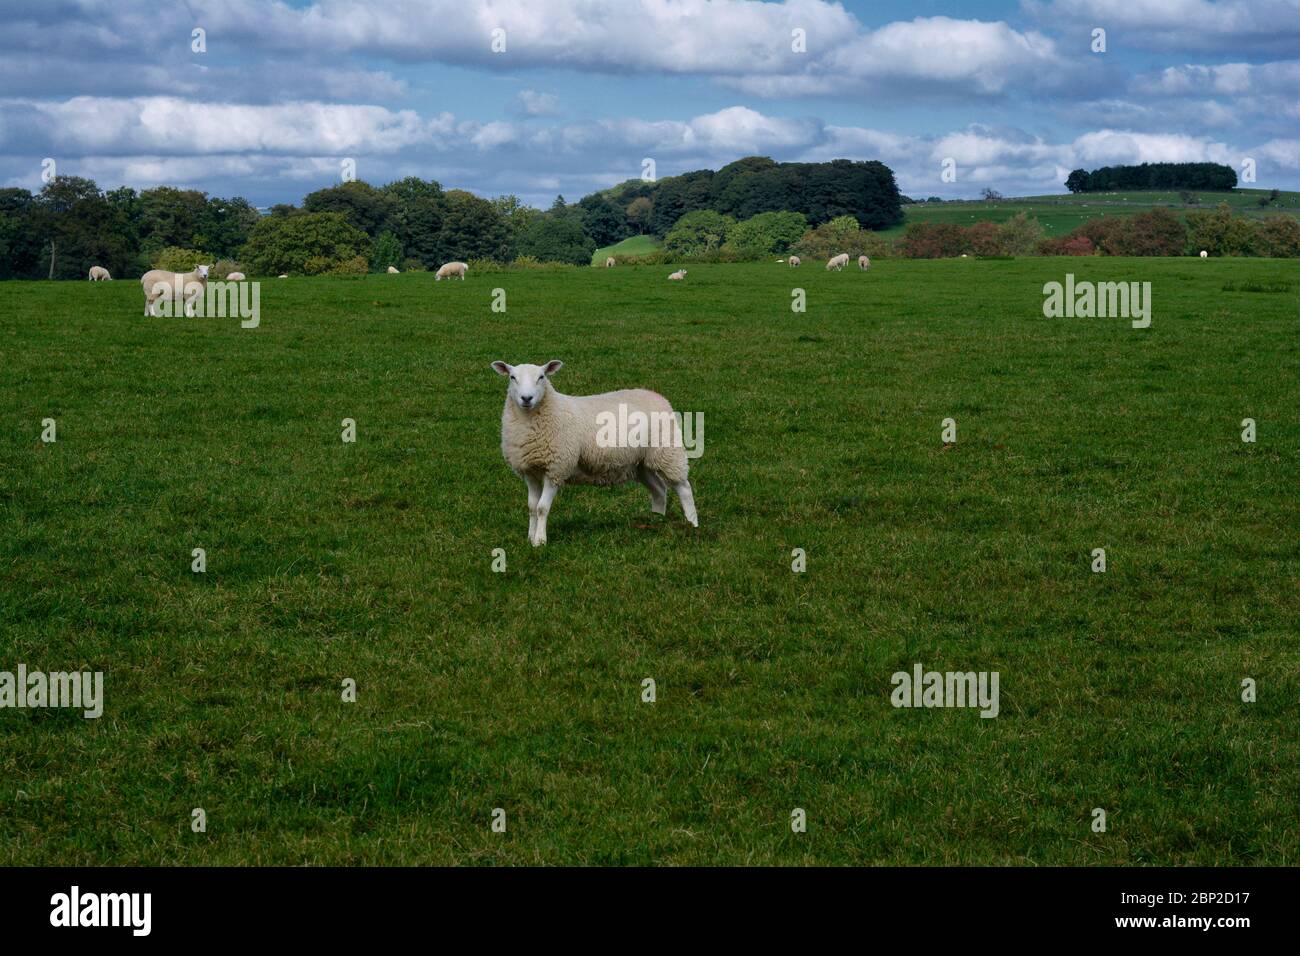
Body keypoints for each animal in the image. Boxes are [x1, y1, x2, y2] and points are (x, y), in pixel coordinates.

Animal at [491, 360, 697, 546]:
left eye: (541, 377)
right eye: (512, 377)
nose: (526, 398)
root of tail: (657, 395)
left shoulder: (557, 468)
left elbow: (542, 508)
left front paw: (540, 541)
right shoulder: (530, 471)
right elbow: (532, 507)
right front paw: (530, 537)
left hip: (667, 451)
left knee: (684, 488)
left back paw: (692, 524)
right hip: (640, 463)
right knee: (659, 489)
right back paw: (656, 520)